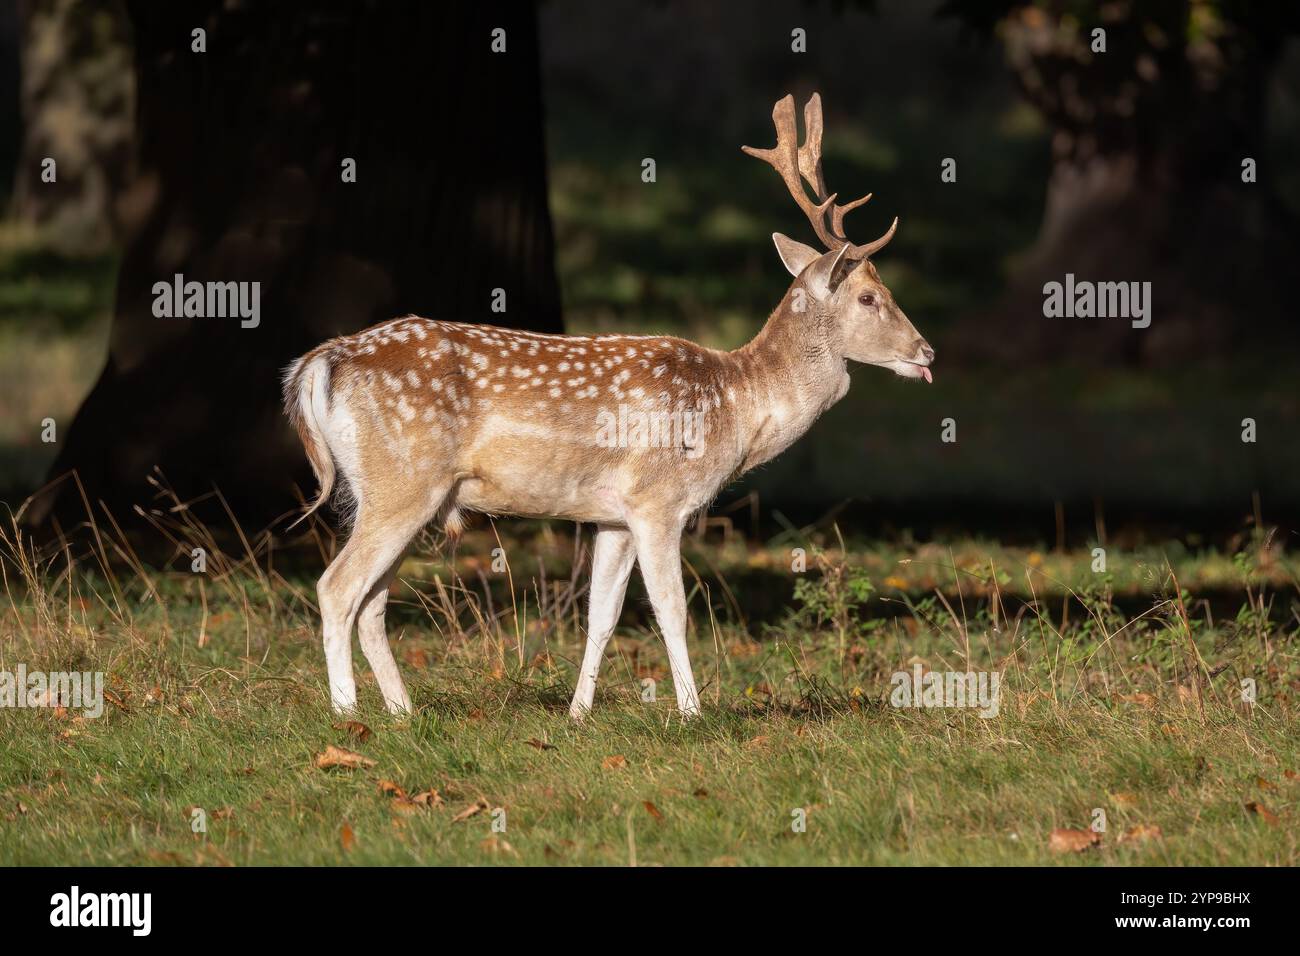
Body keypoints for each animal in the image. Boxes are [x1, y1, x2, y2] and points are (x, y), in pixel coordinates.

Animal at [282, 93, 934, 719]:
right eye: (870, 297)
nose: (926, 351)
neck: (735, 407)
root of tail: (317, 365)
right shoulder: (657, 499)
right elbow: (671, 609)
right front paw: (693, 713)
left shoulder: (612, 516)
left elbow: (602, 614)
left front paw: (577, 714)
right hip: (403, 480)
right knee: (336, 587)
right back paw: (346, 712)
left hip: (390, 491)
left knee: (371, 601)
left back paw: (403, 711)